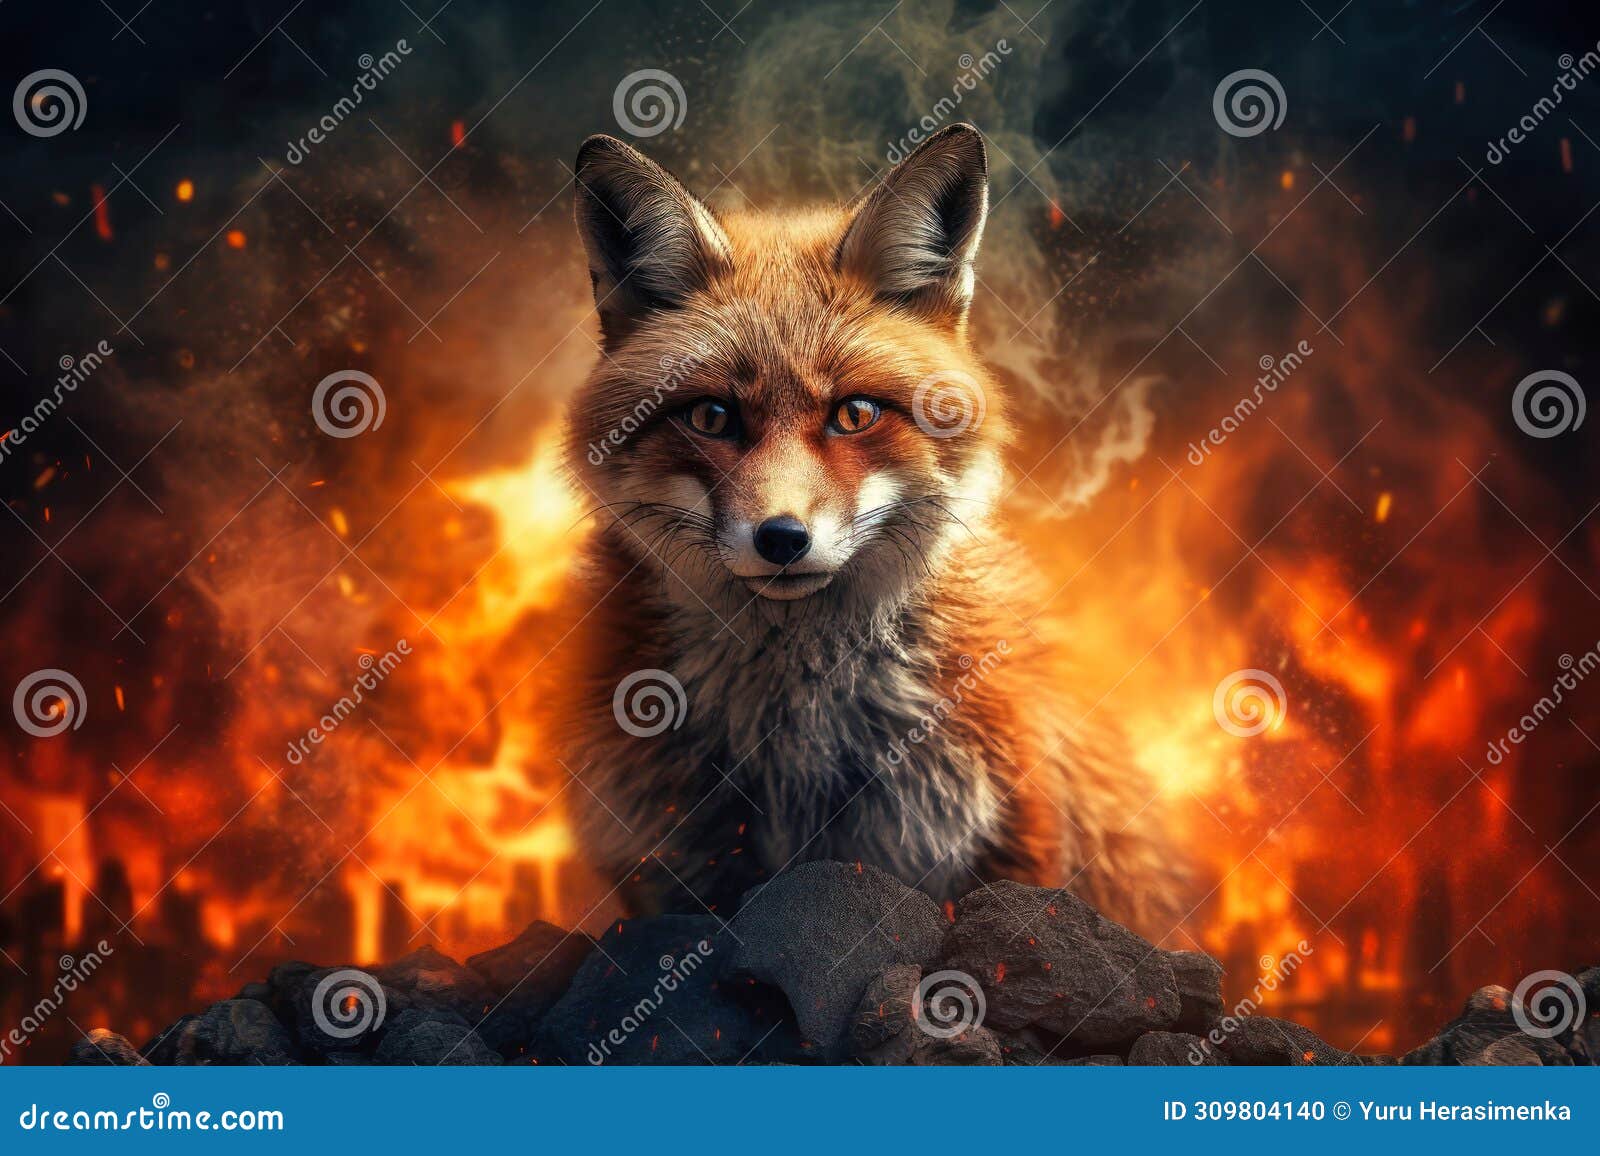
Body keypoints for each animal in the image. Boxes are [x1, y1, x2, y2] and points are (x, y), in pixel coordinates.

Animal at [554, 124, 1182, 934]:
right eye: (711, 417)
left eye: (853, 414)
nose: (781, 539)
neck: (794, 748)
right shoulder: (669, 863)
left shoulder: (1003, 841)